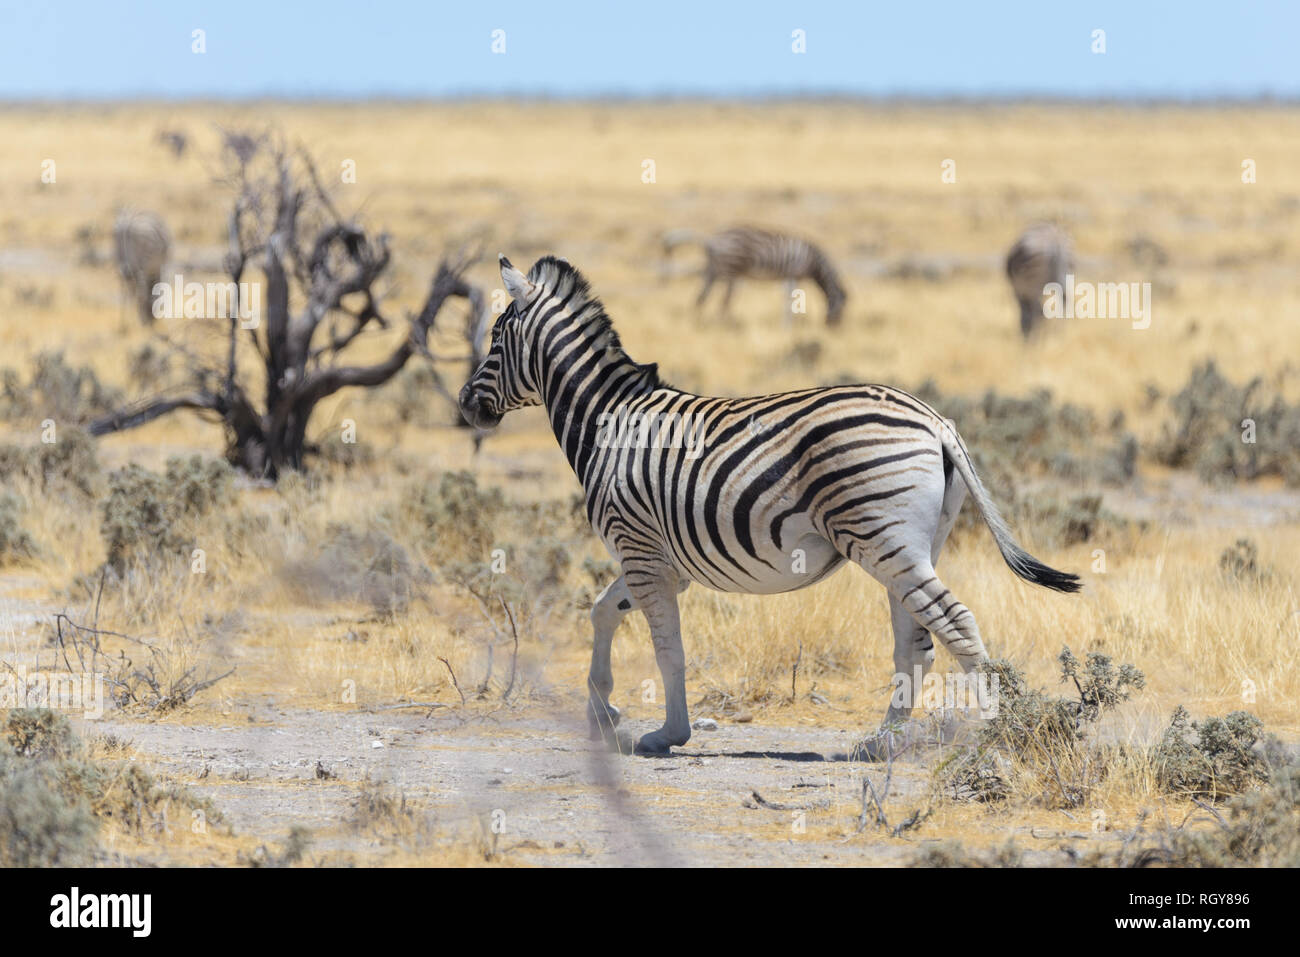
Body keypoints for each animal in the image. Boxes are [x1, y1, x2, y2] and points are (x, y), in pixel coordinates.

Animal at [460, 255, 1080, 758]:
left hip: (884, 538)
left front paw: (666, 734)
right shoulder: (664, 563)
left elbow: (667, 648)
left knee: (955, 624)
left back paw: (1002, 731)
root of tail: (935, 421)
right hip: (911, 546)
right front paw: (603, 712)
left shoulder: (639, 549)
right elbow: (602, 612)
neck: (609, 423)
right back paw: (883, 742)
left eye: (495, 340)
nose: (466, 405)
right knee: (917, 642)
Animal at [663, 226, 848, 325]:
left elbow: (788, 300)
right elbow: (789, 300)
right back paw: (725, 325)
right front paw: (788, 325)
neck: (814, 262)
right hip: (730, 271)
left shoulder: (787, 276)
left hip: (713, 271)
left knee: (701, 297)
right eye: (842, 308)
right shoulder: (792, 272)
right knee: (724, 301)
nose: (834, 329)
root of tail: (710, 240)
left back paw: (698, 322)